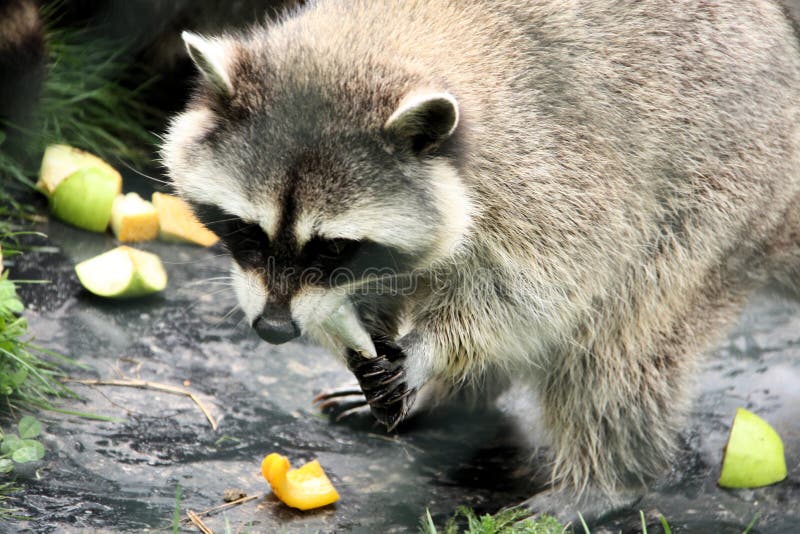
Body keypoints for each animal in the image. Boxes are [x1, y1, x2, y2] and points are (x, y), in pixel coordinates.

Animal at [161, 0, 800, 512]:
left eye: (334, 246)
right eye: (247, 231)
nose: (273, 329)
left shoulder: (554, 178)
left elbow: (539, 290)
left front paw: (426, 352)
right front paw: (362, 338)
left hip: (721, 182)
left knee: (619, 341)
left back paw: (606, 477)